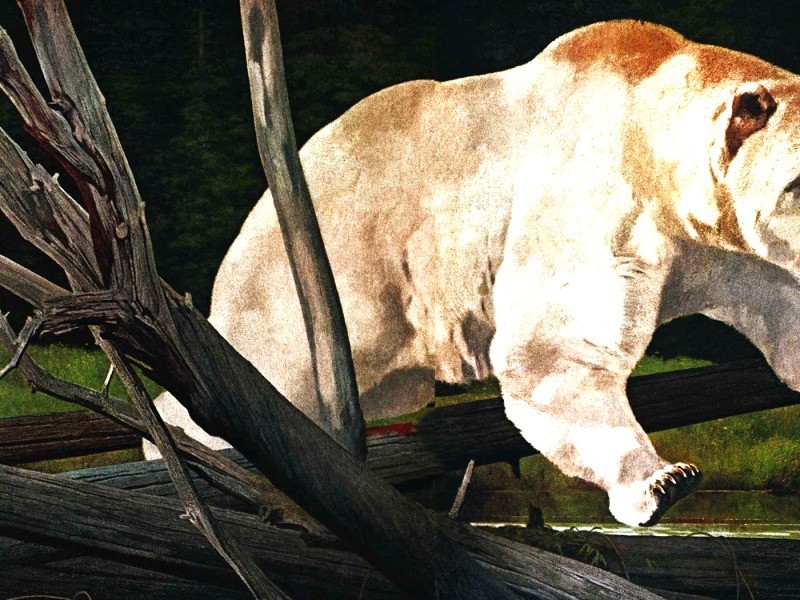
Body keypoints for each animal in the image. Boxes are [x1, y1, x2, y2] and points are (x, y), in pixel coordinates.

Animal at [147, 20, 800, 527]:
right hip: (330, 268)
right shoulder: (593, 195)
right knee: (269, 364)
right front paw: (663, 480)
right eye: (798, 180)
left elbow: (780, 311)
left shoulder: (736, 253)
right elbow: (551, 348)